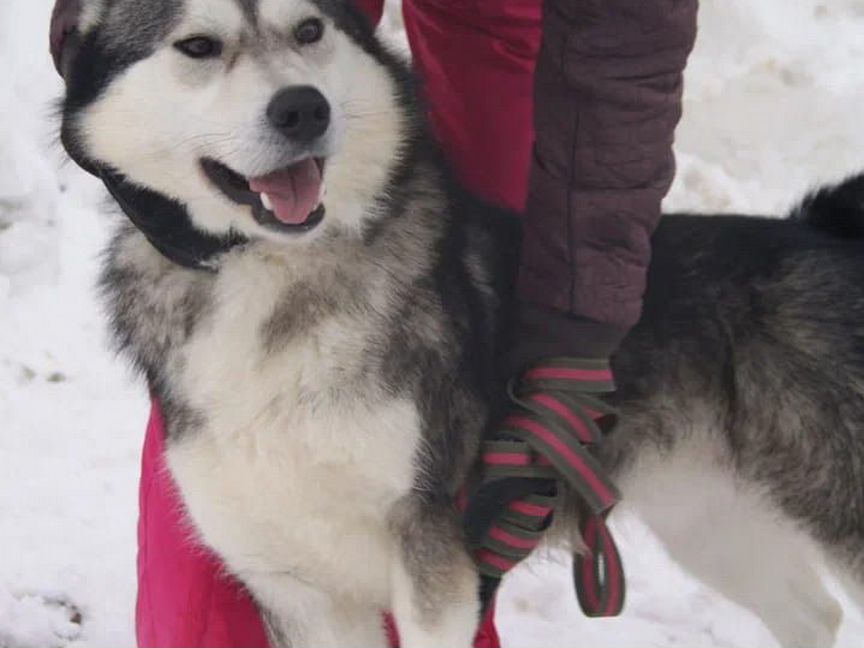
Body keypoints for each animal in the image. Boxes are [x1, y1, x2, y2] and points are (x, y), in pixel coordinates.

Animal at [57, 1, 860, 648]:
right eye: (197, 46)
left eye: (309, 30)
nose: (302, 109)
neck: (268, 275)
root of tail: (819, 228)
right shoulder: (295, 585)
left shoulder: (436, 561)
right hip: (710, 520)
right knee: (812, 614)